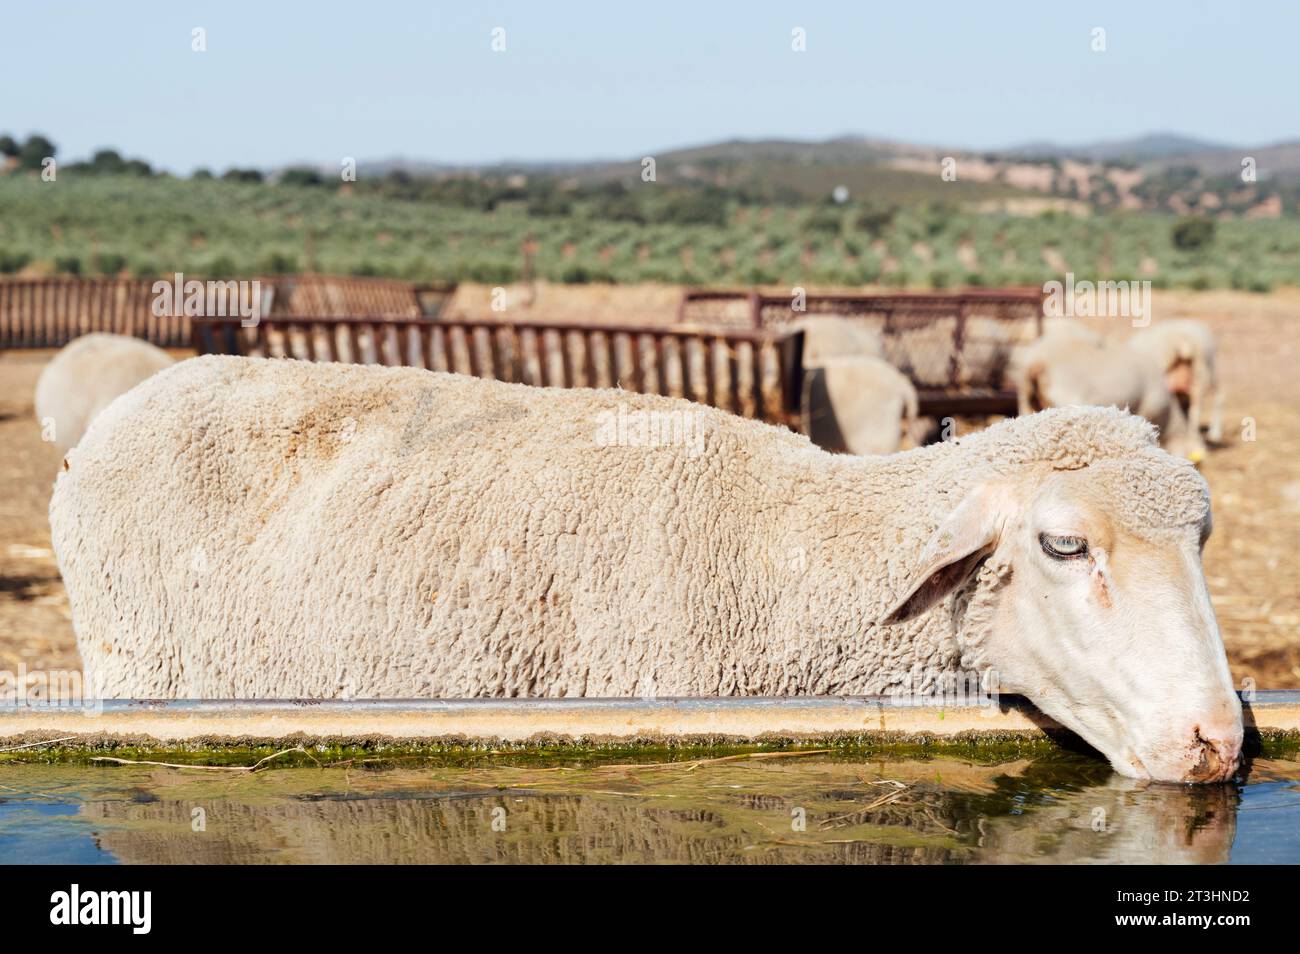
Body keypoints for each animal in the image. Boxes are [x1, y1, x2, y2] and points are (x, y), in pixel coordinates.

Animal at [50, 355, 1242, 782]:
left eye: (1203, 540)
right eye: (1063, 545)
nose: (1219, 743)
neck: (806, 547)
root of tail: (141, 393)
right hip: (141, 670)